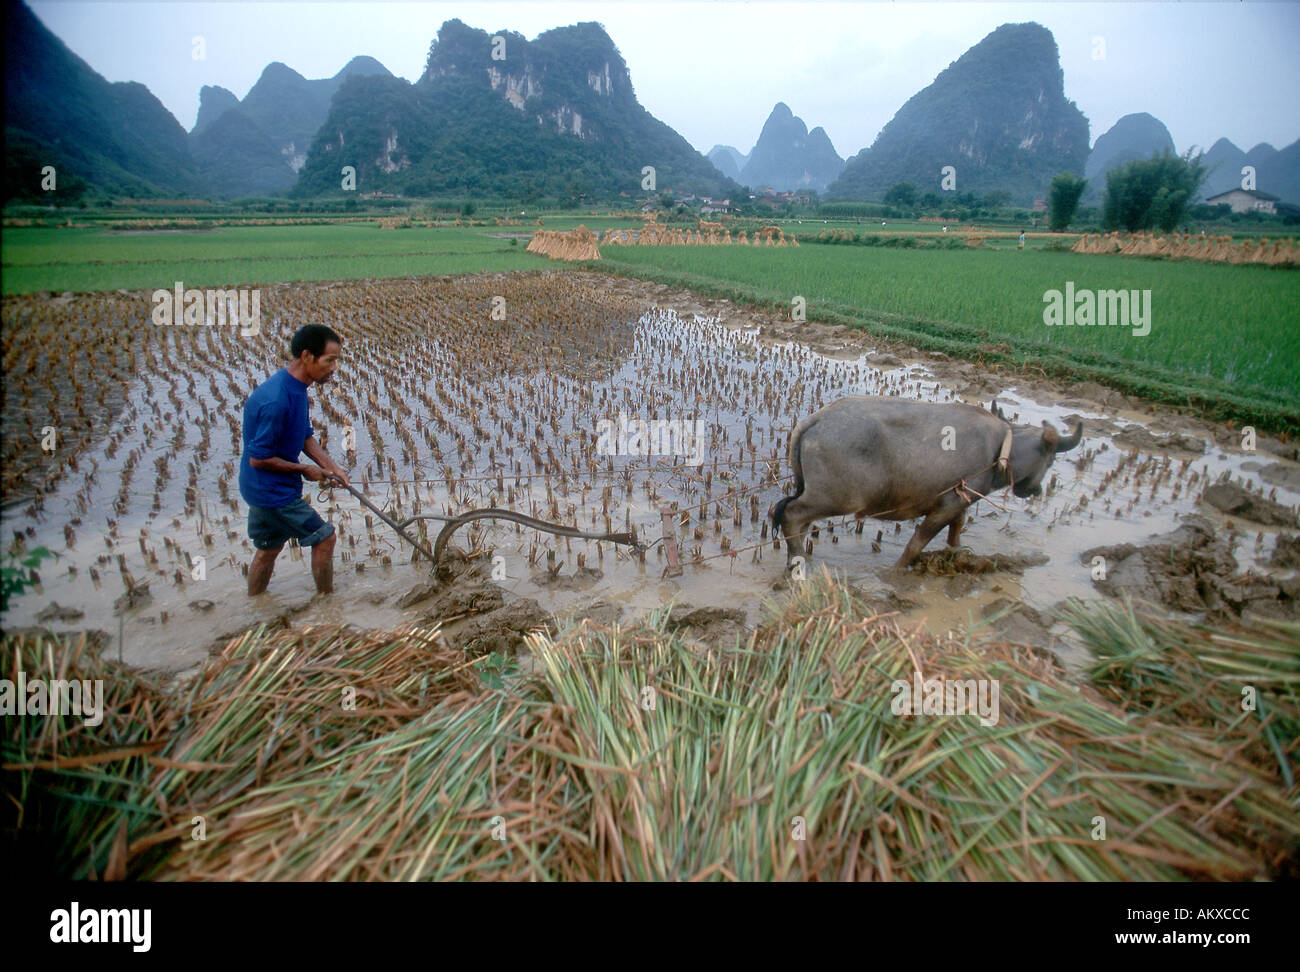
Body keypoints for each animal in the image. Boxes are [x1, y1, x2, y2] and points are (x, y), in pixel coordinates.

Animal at [772, 396, 1083, 569]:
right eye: (1050, 460)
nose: (1035, 489)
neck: (998, 449)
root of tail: (814, 421)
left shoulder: (961, 500)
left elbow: (956, 529)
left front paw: (957, 552)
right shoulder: (946, 505)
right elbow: (918, 542)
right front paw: (898, 570)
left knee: (798, 522)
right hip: (836, 498)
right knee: (791, 515)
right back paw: (798, 560)